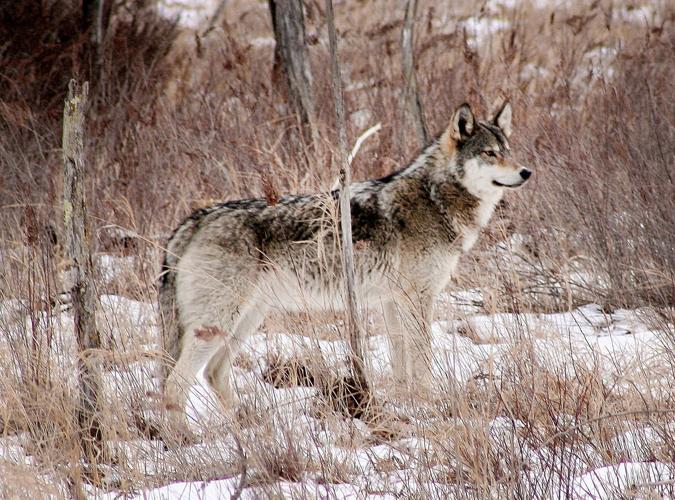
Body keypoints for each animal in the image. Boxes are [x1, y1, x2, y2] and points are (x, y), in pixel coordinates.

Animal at [159, 101, 531, 423]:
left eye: (508, 150)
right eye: (489, 153)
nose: (526, 172)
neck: (433, 197)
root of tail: (194, 220)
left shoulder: (392, 303)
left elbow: (401, 365)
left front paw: (408, 405)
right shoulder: (417, 300)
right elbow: (422, 360)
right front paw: (432, 404)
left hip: (246, 319)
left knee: (214, 372)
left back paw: (248, 428)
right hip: (219, 323)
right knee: (175, 384)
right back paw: (184, 442)